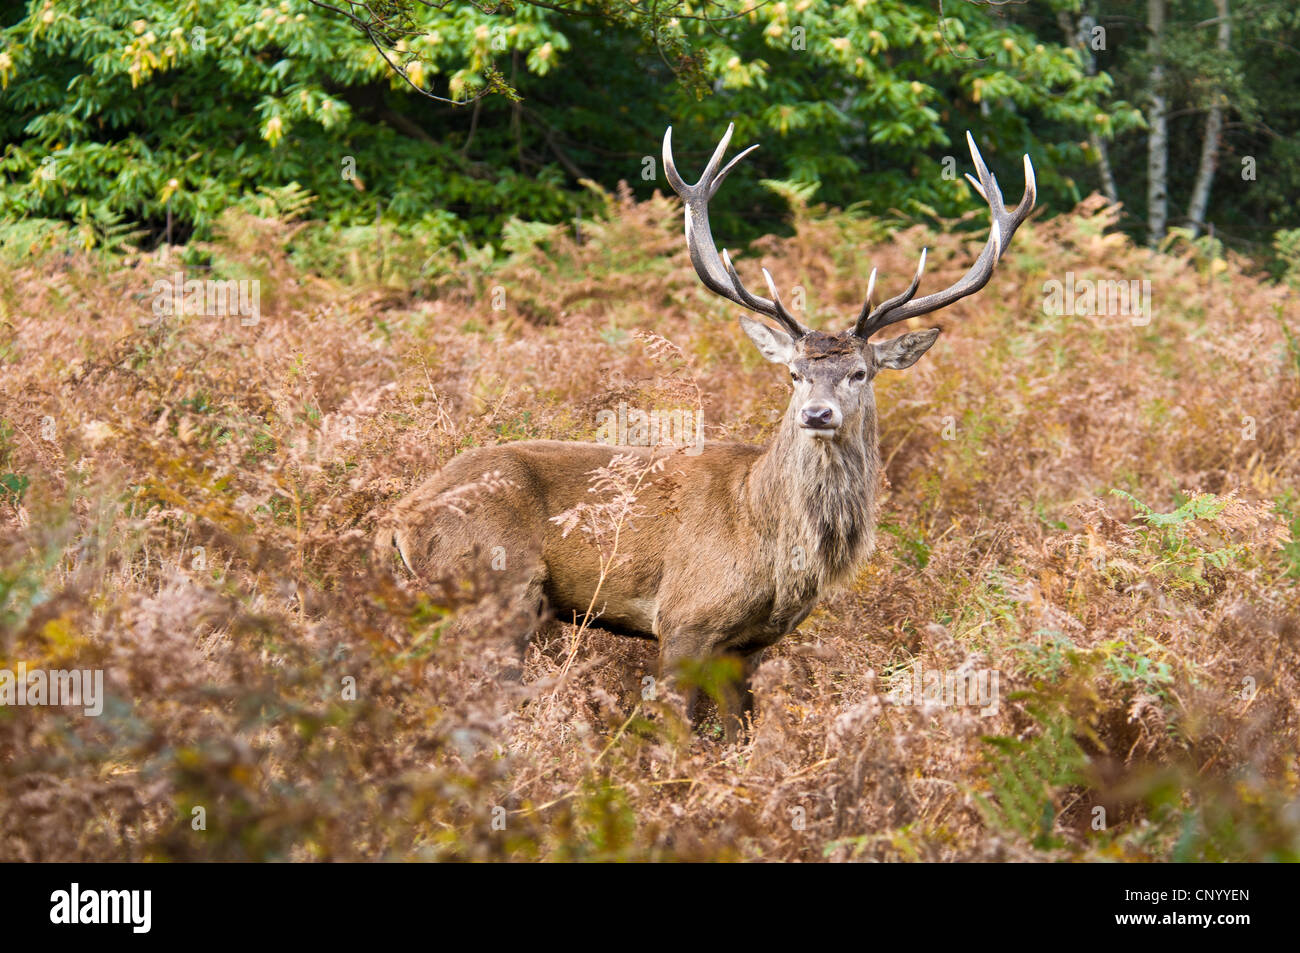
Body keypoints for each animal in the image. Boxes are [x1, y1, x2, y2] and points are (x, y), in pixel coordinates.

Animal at [376, 123, 1035, 735]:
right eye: (794, 373)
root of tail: (399, 521)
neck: (769, 541)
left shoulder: (749, 645)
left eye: (860, 372)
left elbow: (743, 733)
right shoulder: (683, 618)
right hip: (498, 585)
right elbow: (677, 733)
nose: (817, 414)